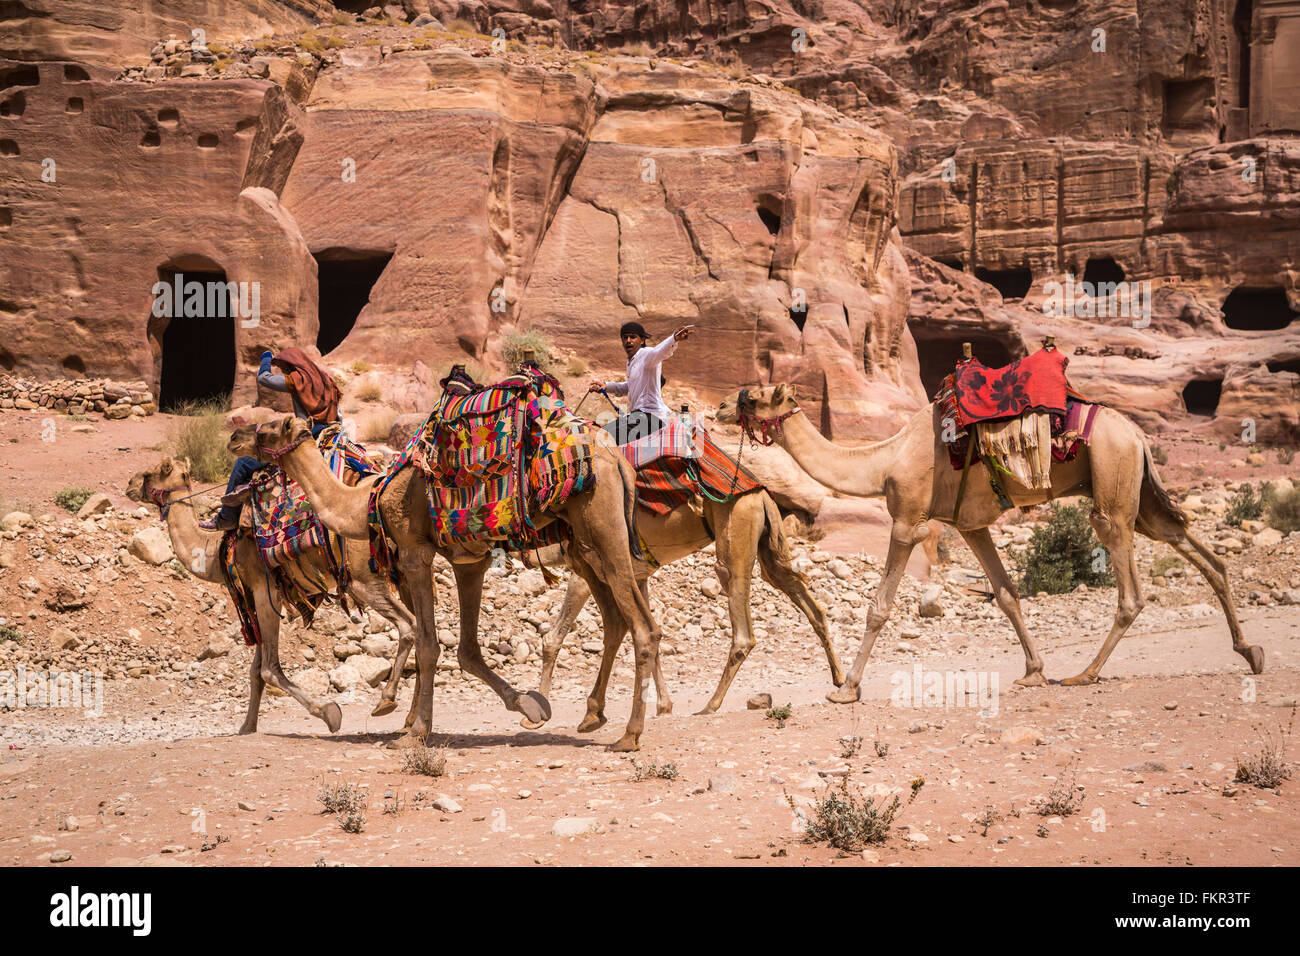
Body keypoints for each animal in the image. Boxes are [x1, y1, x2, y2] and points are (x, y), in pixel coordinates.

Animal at [126, 457, 421, 734]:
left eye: (152, 473)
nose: (129, 484)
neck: (212, 551)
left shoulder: (264, 591)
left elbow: (269, 669)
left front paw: (329, 713)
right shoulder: (256, 600)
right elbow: (255, 671)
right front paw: (246, 727)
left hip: (363, 578)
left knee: (409, 625)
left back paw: (386, 702)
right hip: (404, 572)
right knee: (425, 632)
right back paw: (409, 722)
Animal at [230, 413, 666, 751]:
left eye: (266, 428)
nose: (234, 436)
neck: (368, 500)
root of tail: (617, 458)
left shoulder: (414, 552)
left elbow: (428, 645)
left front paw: (415, 733)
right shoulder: (468, 560)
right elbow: (467, 650)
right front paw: (530, 706)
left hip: (601, 524)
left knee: (643, 626)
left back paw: (629, 735)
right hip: (586, 544)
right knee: (619, 620)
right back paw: (595, 717)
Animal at [520, 488, 844, 727]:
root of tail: (763, 496)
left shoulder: (588, 573)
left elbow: (554, 639)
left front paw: (539, 712)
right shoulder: (639, 575)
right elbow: (652, 635)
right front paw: (664, 706)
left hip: (734, 543)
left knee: (742, 630)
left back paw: (710, 705)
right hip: (769, 548)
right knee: (812, 607)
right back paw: (839, 680)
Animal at [716, 382, 1264, 700]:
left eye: (755, 395)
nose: (719, 405)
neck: (885, 460)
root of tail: (1137, 434)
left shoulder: (908, 520)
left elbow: (879, 607)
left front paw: (846, 689)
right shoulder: (971, 525)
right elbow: (1006, 594)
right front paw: (1033, 671)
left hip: (1112, 486)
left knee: (1128, 586)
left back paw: (1085, 674)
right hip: (1140, 496)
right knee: (1201, 553)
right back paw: (1250, 651)